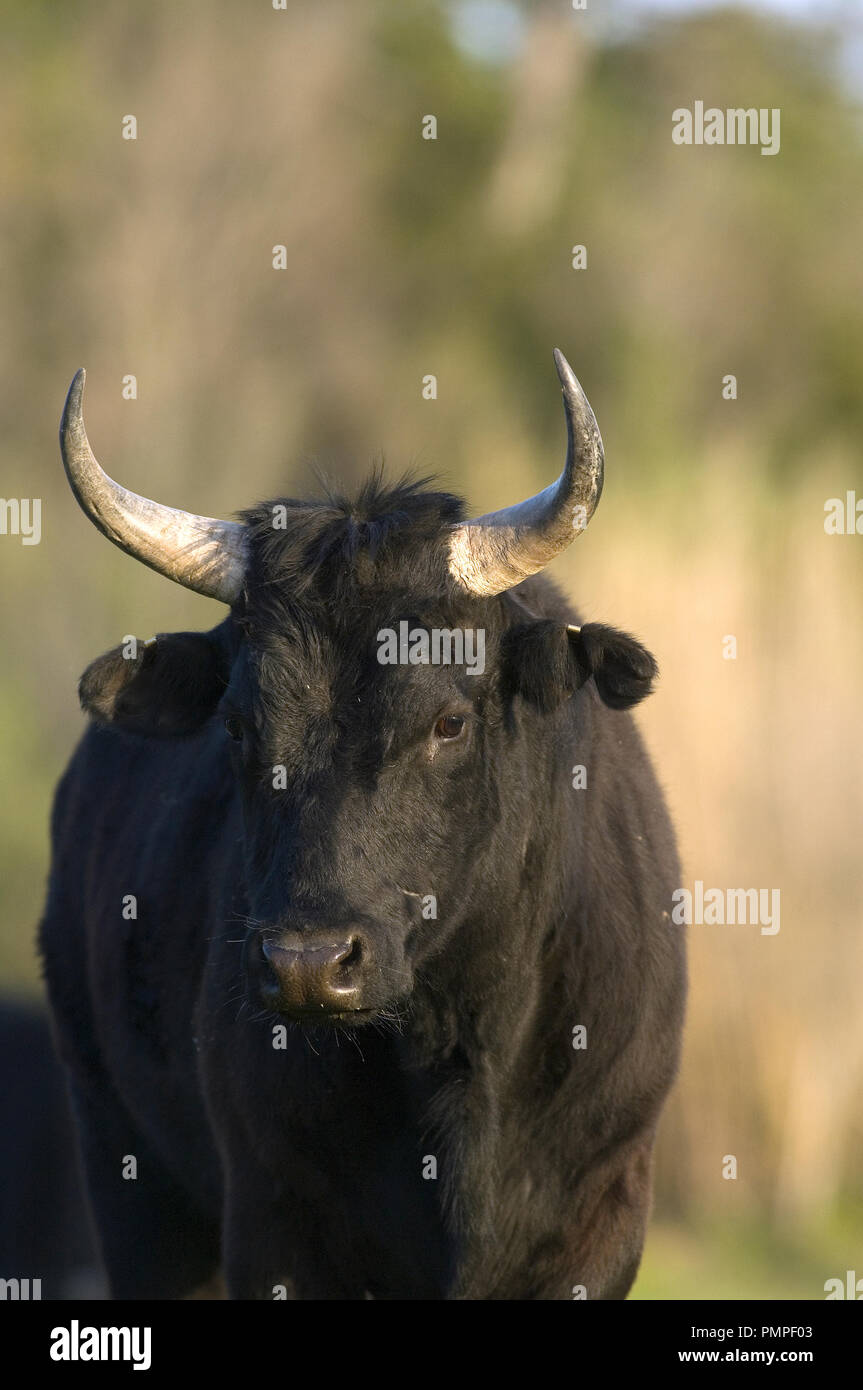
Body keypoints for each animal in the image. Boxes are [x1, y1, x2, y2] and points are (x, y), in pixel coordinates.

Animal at [40, 352, 686, 1300]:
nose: (306, 964)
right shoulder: (272, 1222)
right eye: (238, 725)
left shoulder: (599, 1220)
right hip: (126, 1169)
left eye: (448, 721)